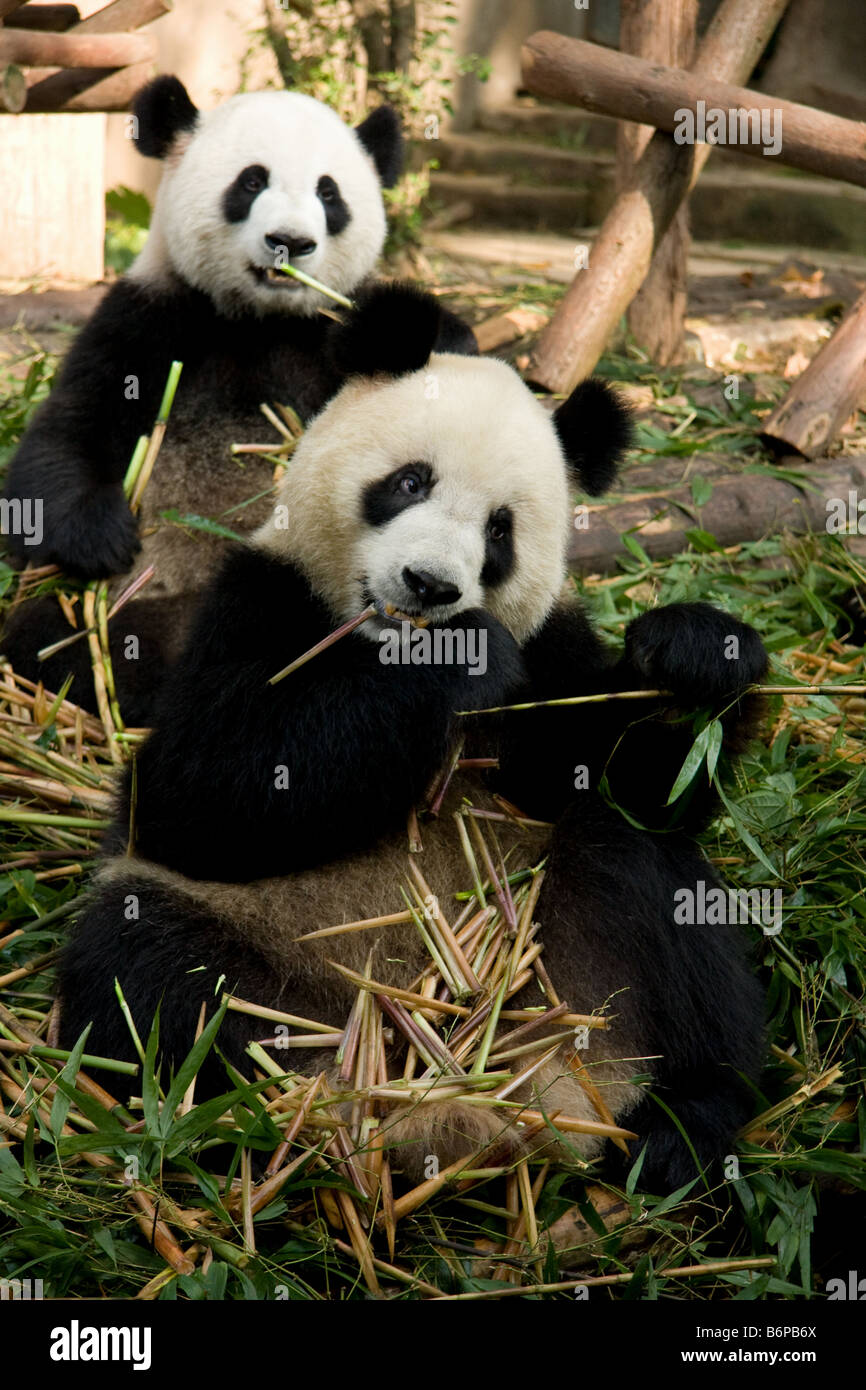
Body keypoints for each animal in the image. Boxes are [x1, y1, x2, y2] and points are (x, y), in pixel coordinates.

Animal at [1, 76, 472, 724]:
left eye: (329, 192)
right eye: (251, 182)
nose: (290, 242)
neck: (259, 321)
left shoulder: (325, 333)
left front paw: (451, 338)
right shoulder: (153, 318)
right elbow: (68, 433)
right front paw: (101, 537)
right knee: (56, 634)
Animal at [57, 285, 768, 1194]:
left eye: (500, 532)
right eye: (408, 481)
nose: (429, 587)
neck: (376, 645)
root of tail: (466, 1110)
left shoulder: (553, 658)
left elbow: (630, 775)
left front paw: (694, 658)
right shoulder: (259, 603)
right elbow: (196, 790)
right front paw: (453, 662)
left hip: (571, 956)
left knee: (657, 877)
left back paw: (683, 1128)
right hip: (272, 971)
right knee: (147, 970)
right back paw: (263, 1134)